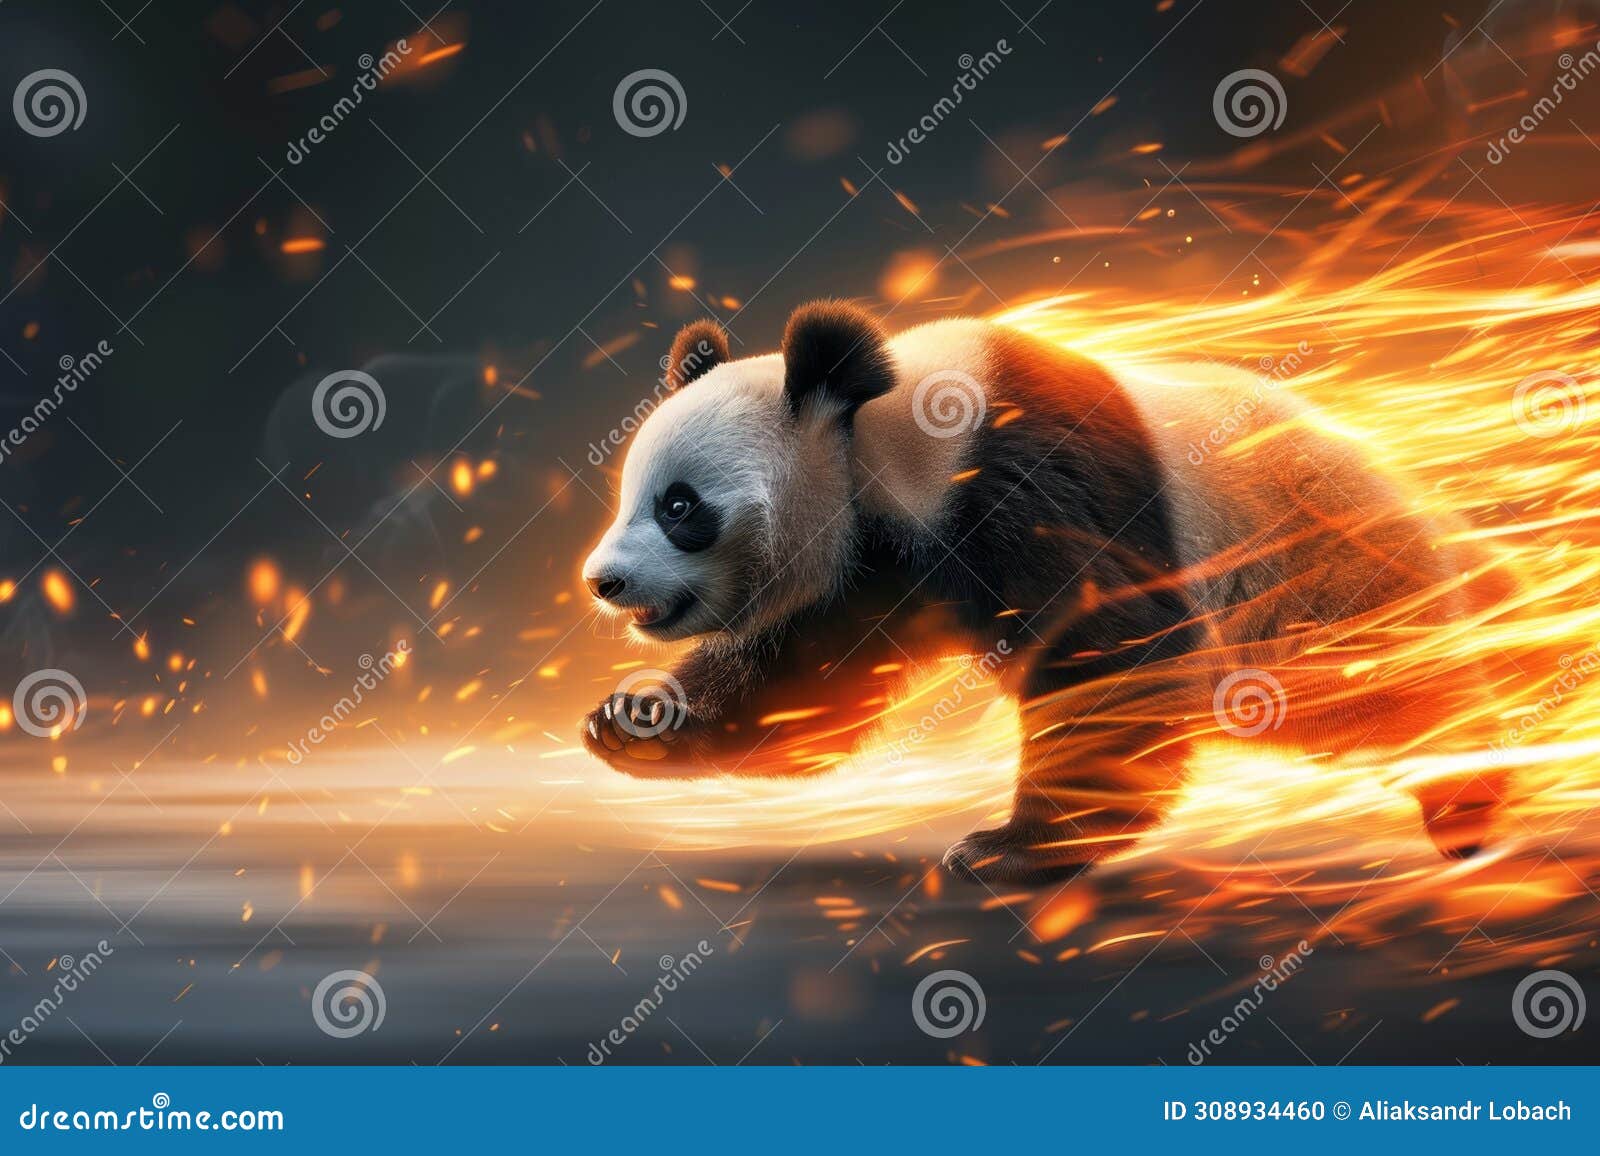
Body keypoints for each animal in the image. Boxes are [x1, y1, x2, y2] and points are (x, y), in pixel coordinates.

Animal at [580, 300, 1508, 883]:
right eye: (631, 493)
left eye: (679, 507)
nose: (603, 580)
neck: (875, 433)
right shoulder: (869, 577)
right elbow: (802, 689)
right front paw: (638, 720)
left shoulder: (1021, 483)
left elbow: (1112, 654)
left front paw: (1008, 850)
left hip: (1321, 581)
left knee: (1398, 689)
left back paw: (1468, 797)